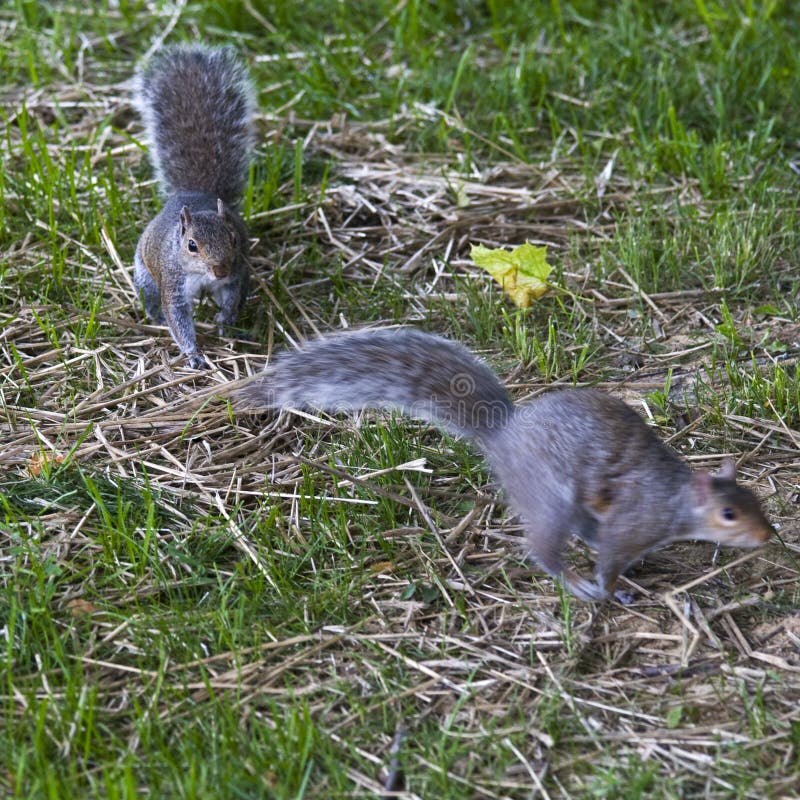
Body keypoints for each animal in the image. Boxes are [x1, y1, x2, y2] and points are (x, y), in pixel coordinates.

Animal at [133, 44, 256, 369]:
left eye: (234, 239)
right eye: (191, 246)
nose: (221, 269)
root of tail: (194, 191)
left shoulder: (236, 273)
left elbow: (231, 296)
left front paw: (226, 319)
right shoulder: (173, 283)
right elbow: (178, 319)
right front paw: (193, 354)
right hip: (144, 274)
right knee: (150, 297)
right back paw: (155, 316)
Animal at [236, 328, 773, 601]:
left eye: (757, 500)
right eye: (728, 515)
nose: (768, 536)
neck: (675, 496)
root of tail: (505, 434)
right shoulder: (634, 522)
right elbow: (611, 560)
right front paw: (609, 587)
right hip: (549, 499)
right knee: (545, 551)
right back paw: (577, 583)